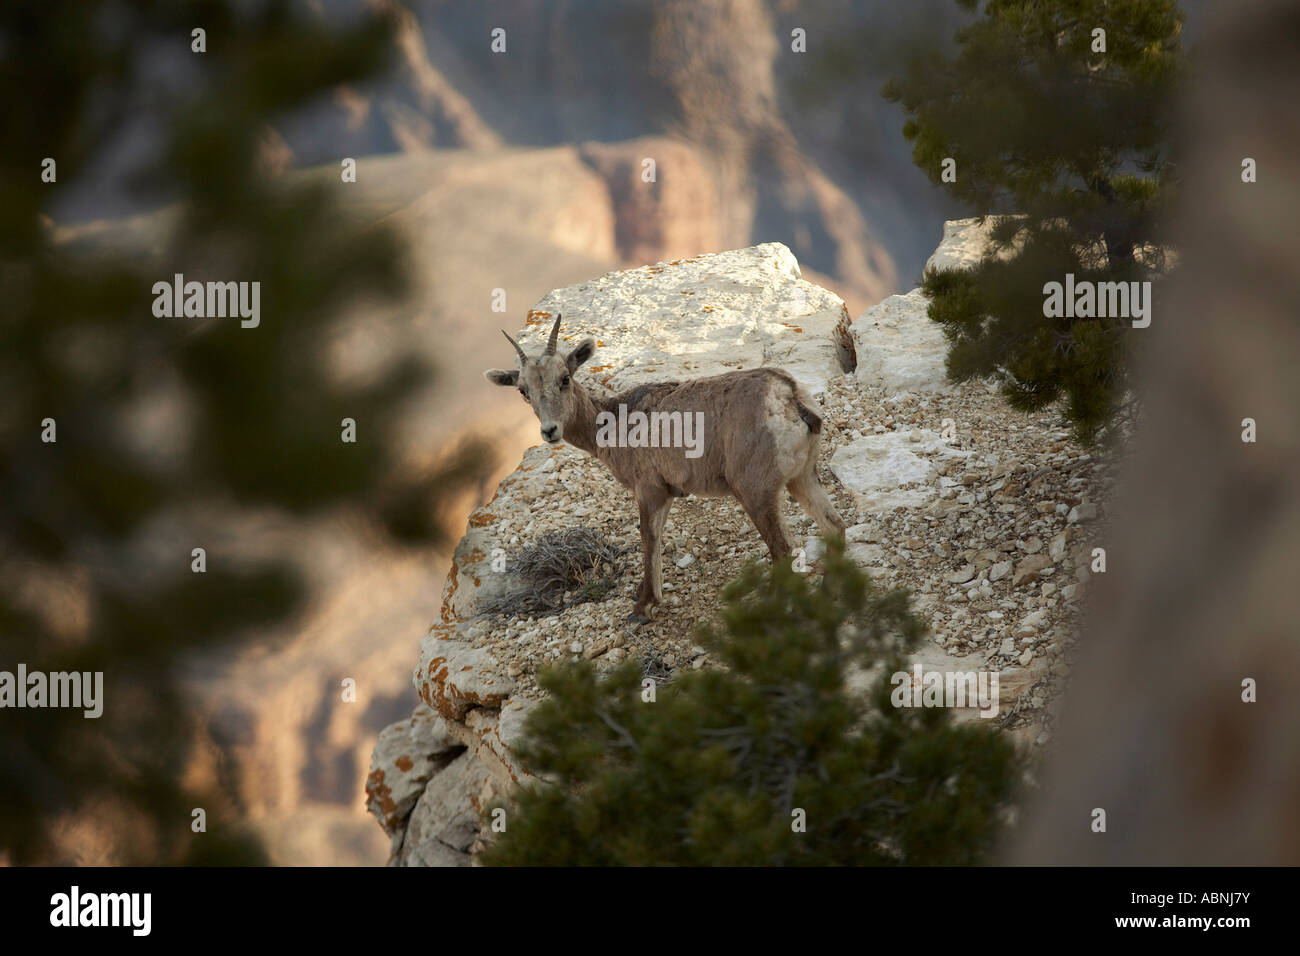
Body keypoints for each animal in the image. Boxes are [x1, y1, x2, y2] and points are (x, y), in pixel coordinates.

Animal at [484, 313, 845, 621]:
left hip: (757, 492)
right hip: (802, 478)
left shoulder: (649, 490)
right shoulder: (668, 493)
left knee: (784, 551)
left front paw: (644, 607)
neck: (615, 424)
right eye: (523, 391)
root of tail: (789, 397)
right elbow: (657, 536)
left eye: (564, 379)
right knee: (834, 527)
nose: (550, 431)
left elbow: (649, 537)